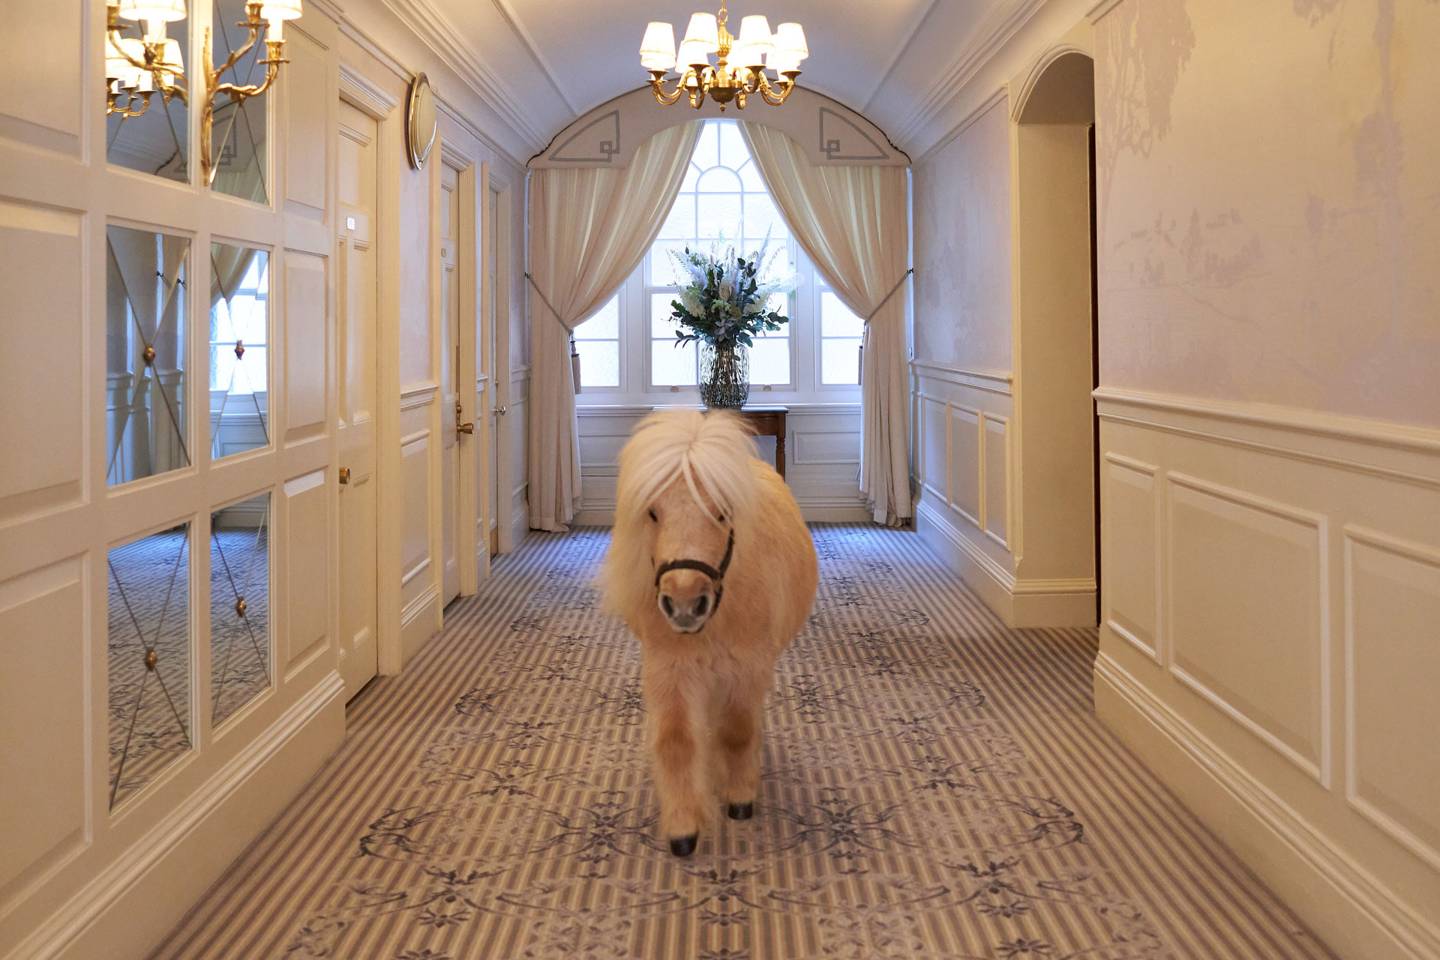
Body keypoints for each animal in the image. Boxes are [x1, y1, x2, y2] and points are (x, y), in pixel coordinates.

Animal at [600, 409, 819, 857]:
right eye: (653, 512)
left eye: (721, 511)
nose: (685, 603)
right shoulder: (669, 667)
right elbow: (677, 739)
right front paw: (684, 826)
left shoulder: (747, 665)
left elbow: (737, 732)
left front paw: (738, 796)